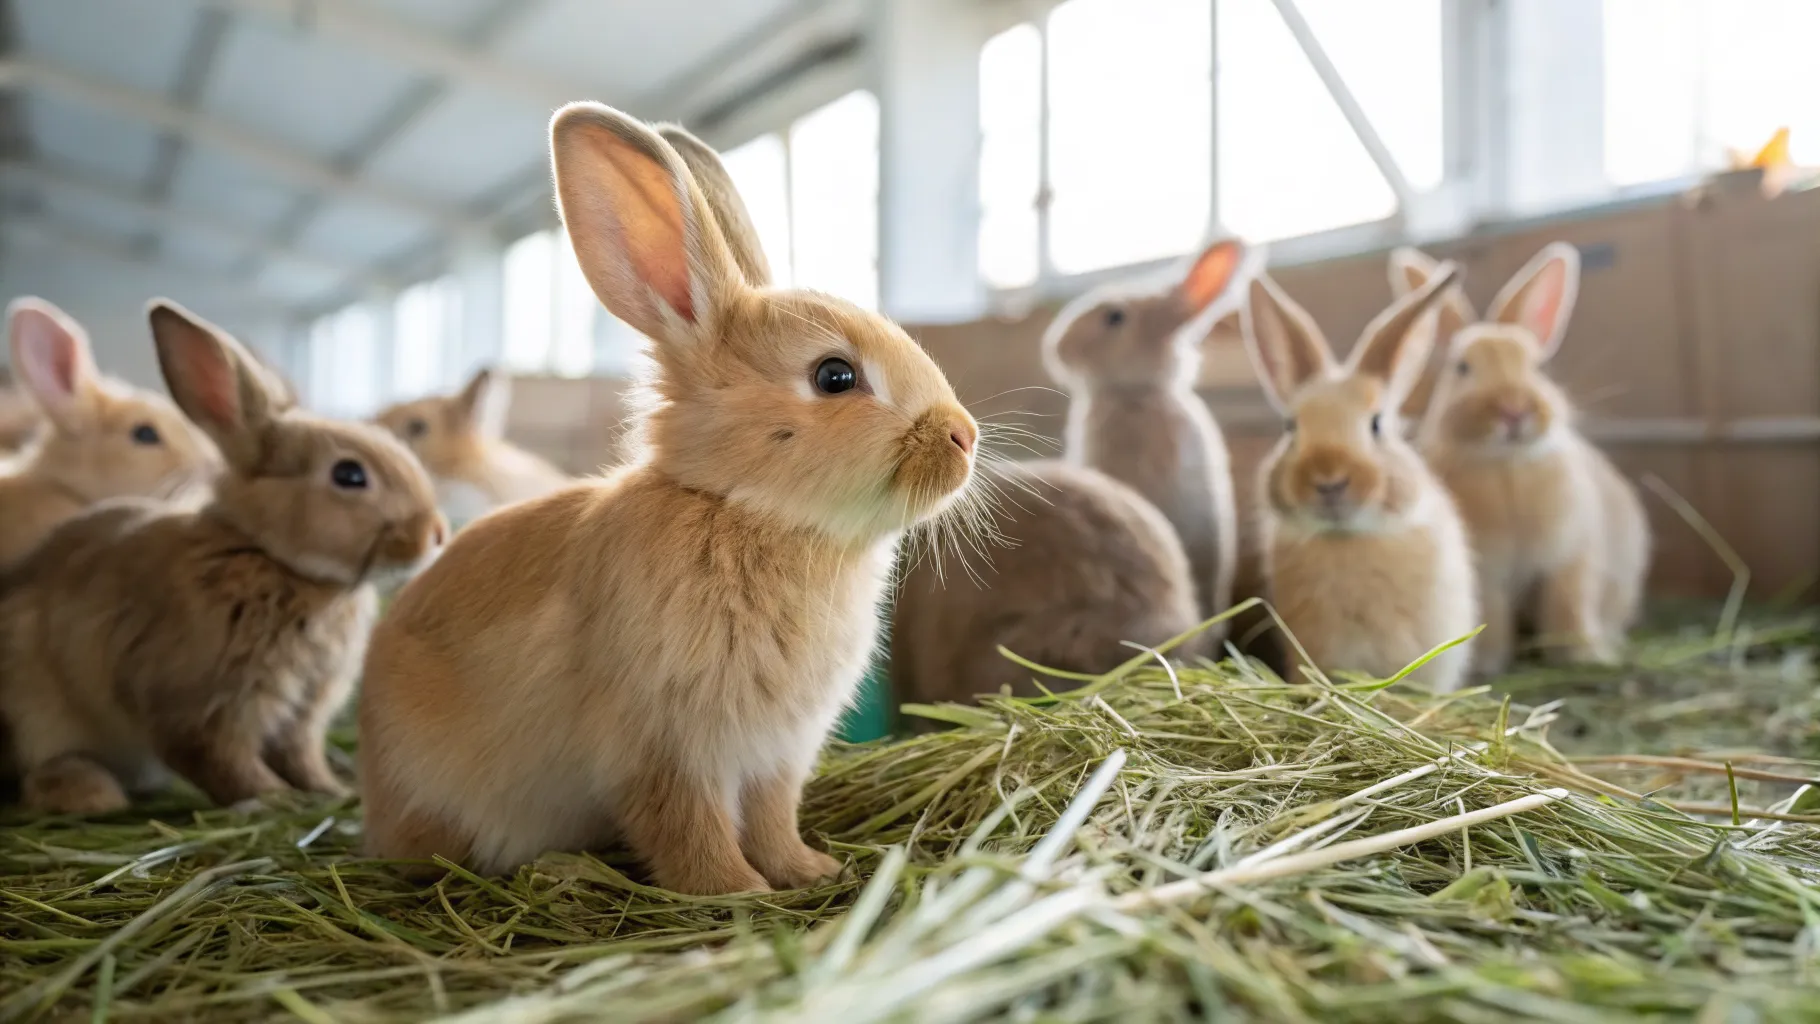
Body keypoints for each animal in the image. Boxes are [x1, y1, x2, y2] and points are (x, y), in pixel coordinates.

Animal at [1390, 243, 1650, 674]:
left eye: (1536, 367)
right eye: (1462, 368)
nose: (1513, 409)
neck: (1507, 466)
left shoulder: (1571, 557)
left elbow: (1568, 605)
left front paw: (1582, 656)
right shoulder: (1489, 574)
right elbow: (1493, 619)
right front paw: (1487, 665)